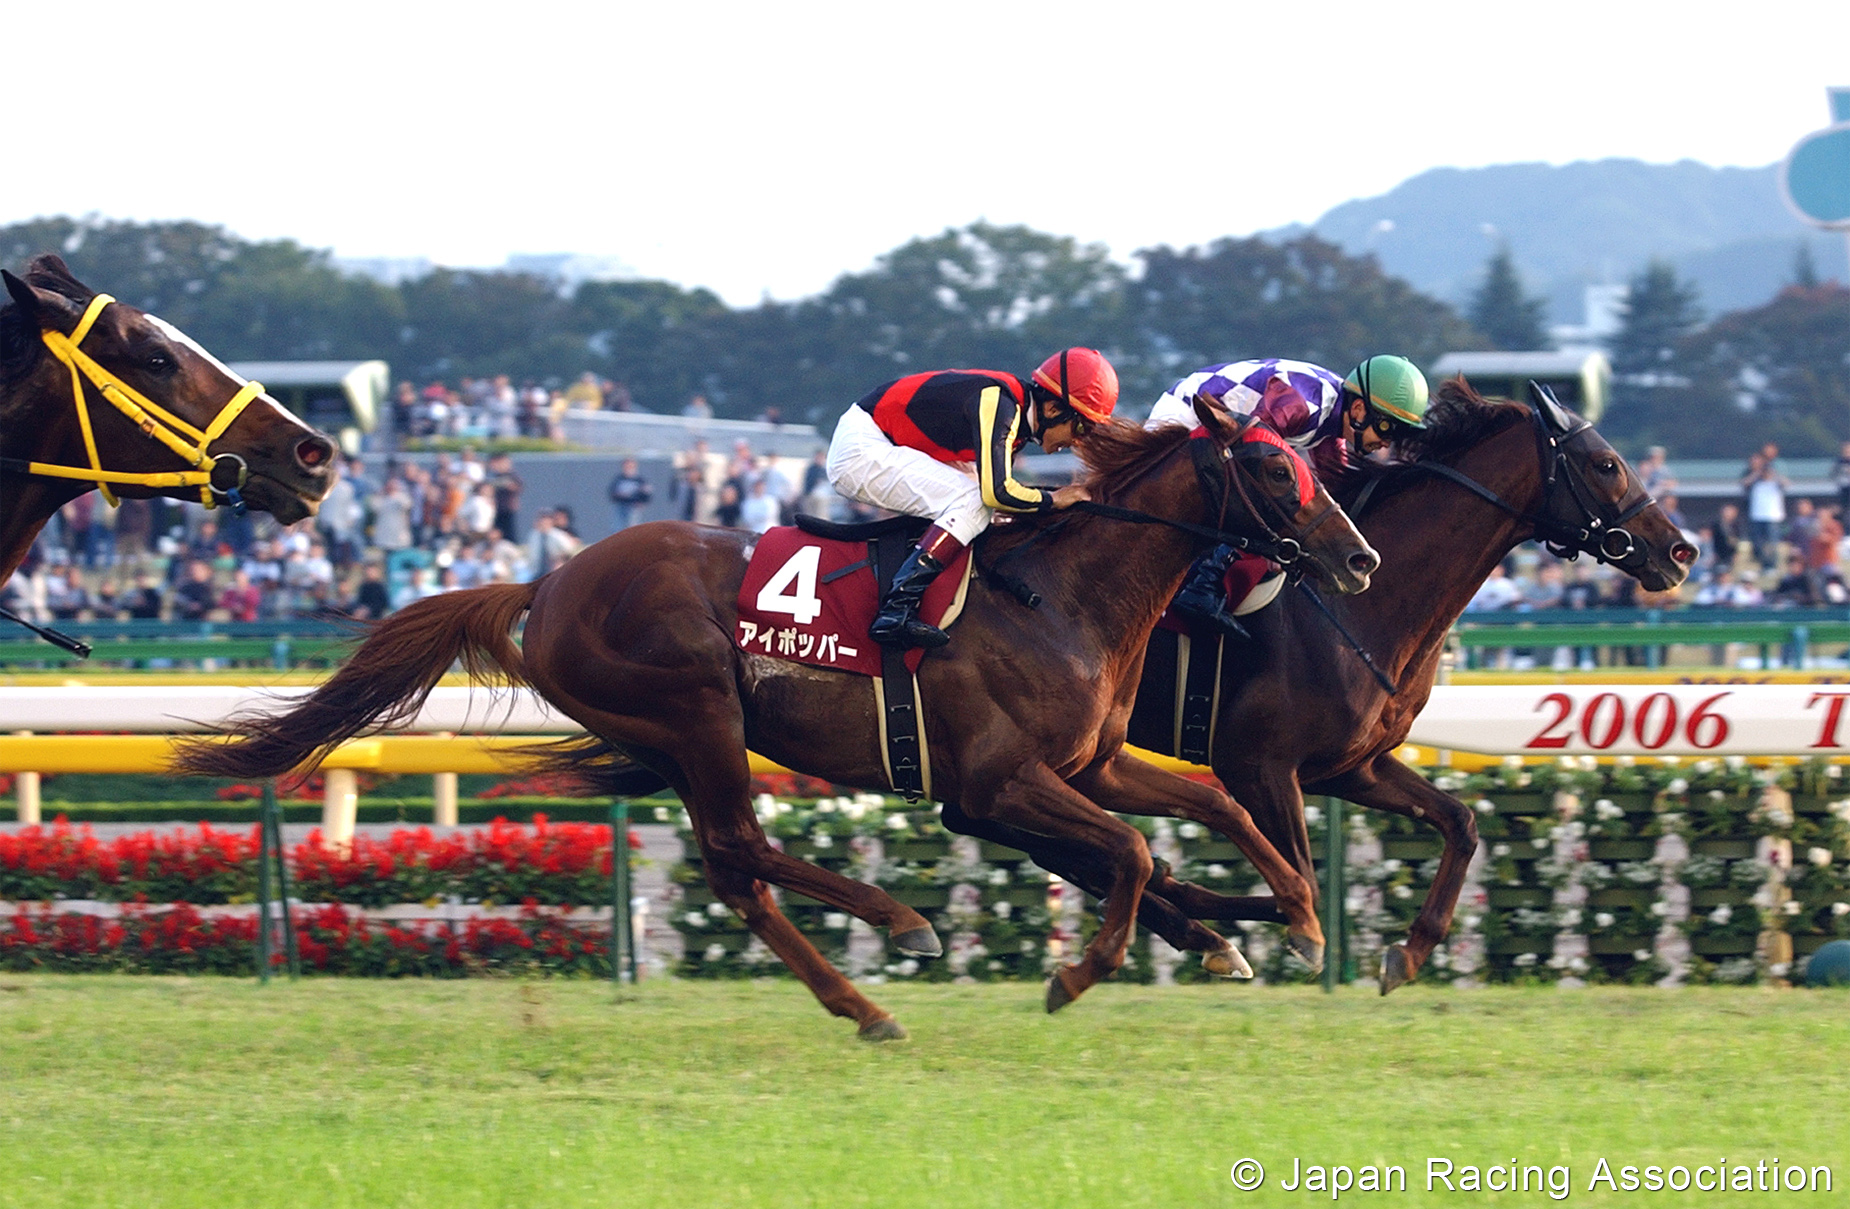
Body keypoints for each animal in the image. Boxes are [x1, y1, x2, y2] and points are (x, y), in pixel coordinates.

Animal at [176, 395, 1380, 1039]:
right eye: (1278, 471)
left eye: (1310, 462)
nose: (1360, 558)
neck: (1061, 594)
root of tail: (547, 581)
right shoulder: (996, 780)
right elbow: (1131, 852)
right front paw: (1080, 972)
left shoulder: (1085, 765)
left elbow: (1215, 807)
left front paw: (1291, 914)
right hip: (697, 707)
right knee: (740, 851)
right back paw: (895, 925)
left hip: (683, 734)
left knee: (736, 869)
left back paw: (863, 1000)